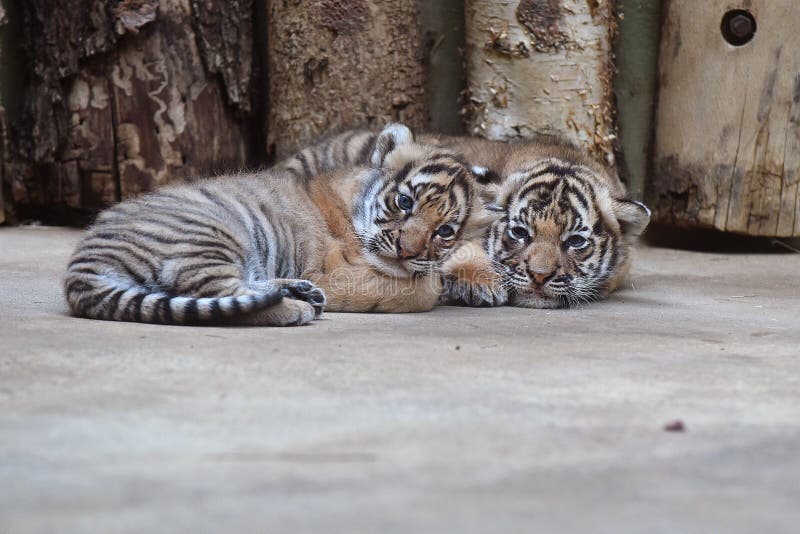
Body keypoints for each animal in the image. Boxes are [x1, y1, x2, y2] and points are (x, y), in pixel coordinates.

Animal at [63, 124, 497, 326]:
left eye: (445, 231)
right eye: (405, 202)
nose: (408, 251)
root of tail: (83, 260)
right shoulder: (336, 268)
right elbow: (422, 288)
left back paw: (298, 292)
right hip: (207, 237)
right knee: (221, 296)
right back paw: (295, 305)